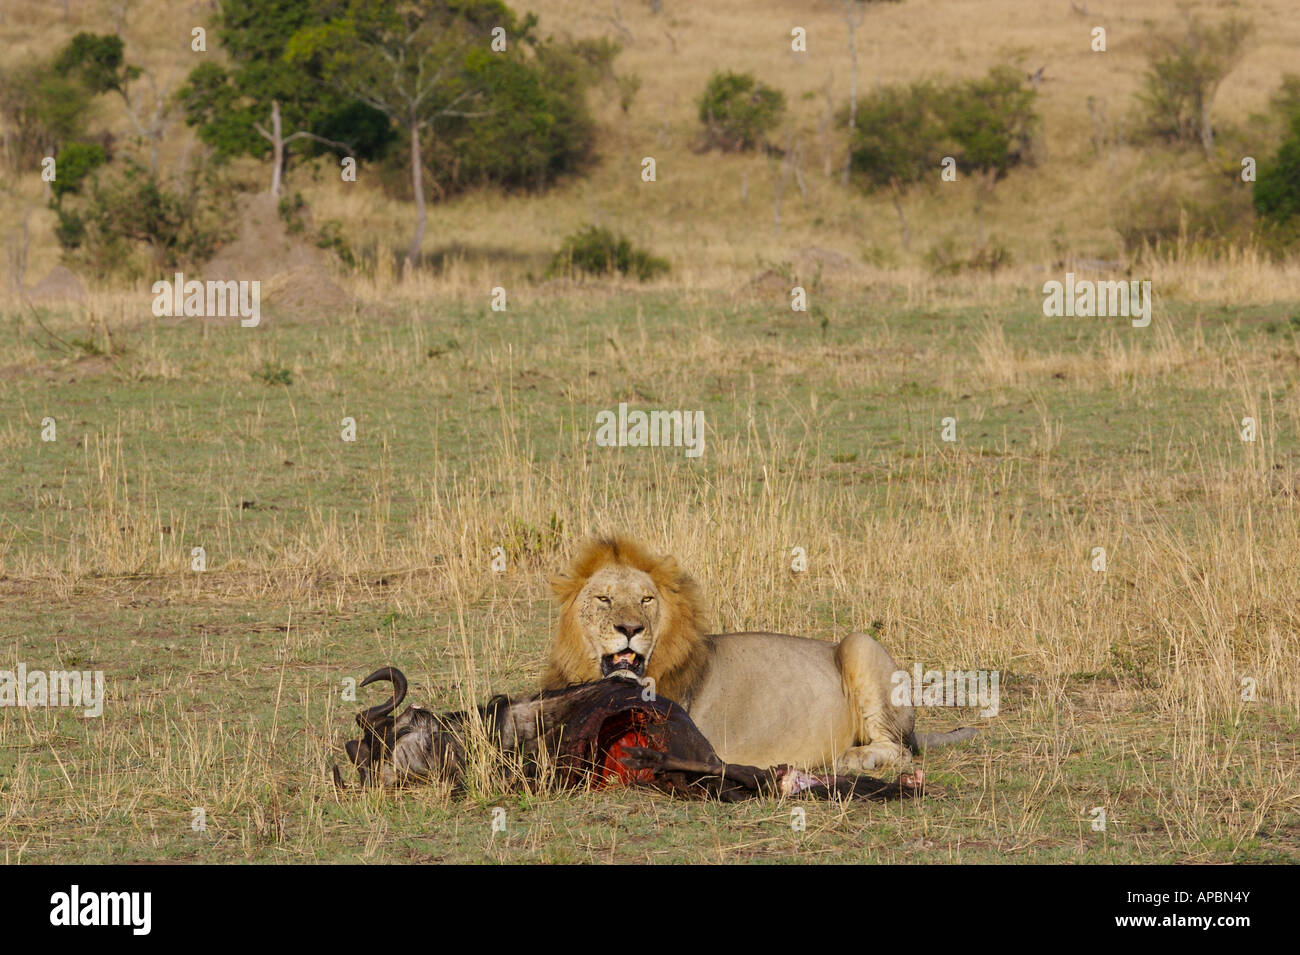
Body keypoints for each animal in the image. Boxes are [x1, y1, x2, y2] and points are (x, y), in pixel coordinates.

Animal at [541, 536, 977, 770]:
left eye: (647, 600)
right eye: (604, 599)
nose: (631, 629)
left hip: (859, 644)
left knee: (899, 751)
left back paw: (847, 759)